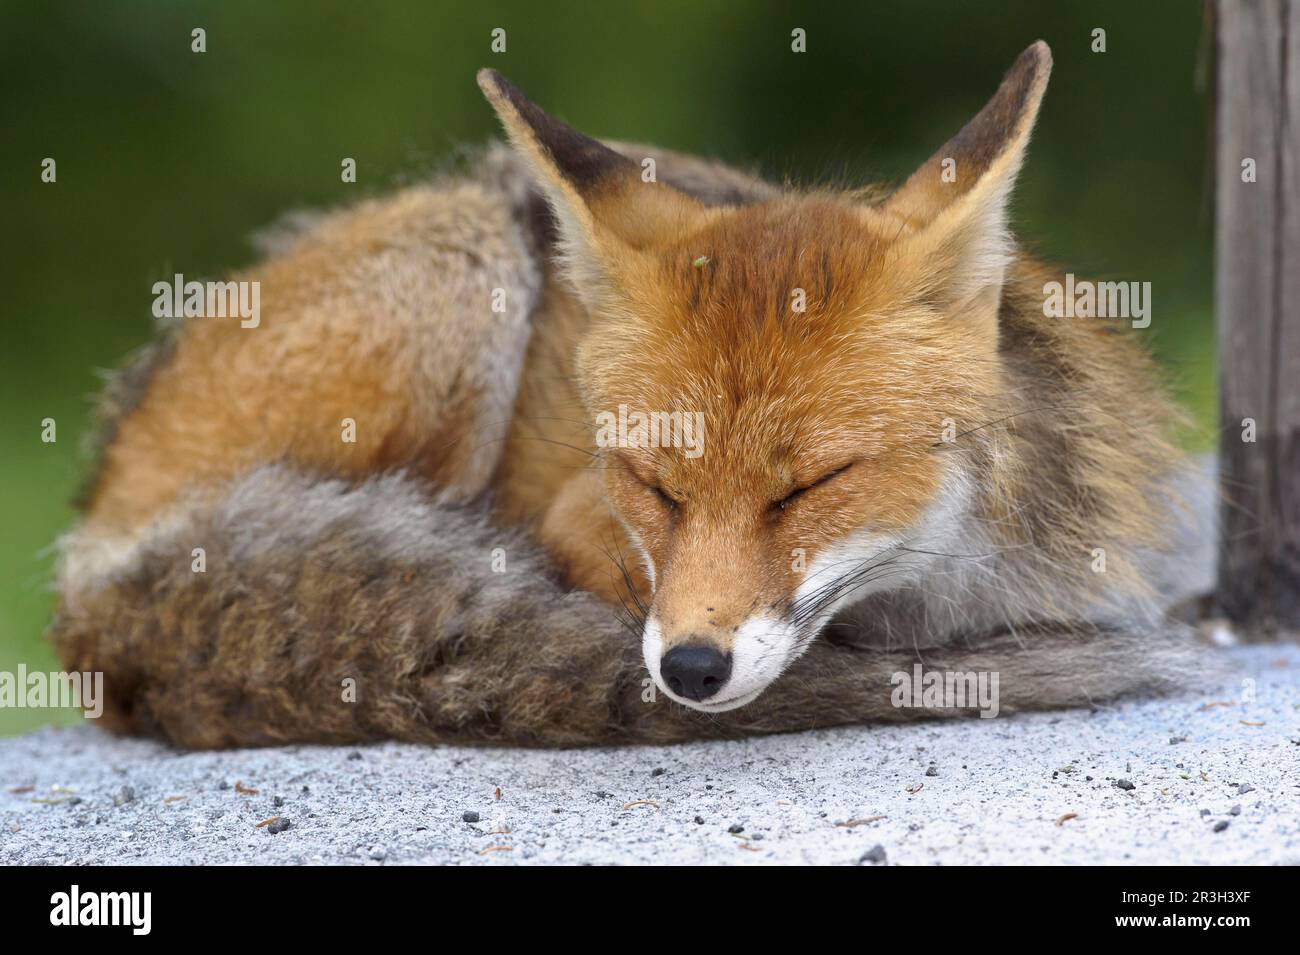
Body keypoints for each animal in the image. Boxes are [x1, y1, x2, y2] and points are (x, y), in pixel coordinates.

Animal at [51, 41, 1211, 748]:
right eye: (653, 486)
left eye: (812, 484)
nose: (691, 668)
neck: (938, 595)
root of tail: (87, 544)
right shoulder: (577, 513)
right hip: (462, 269)